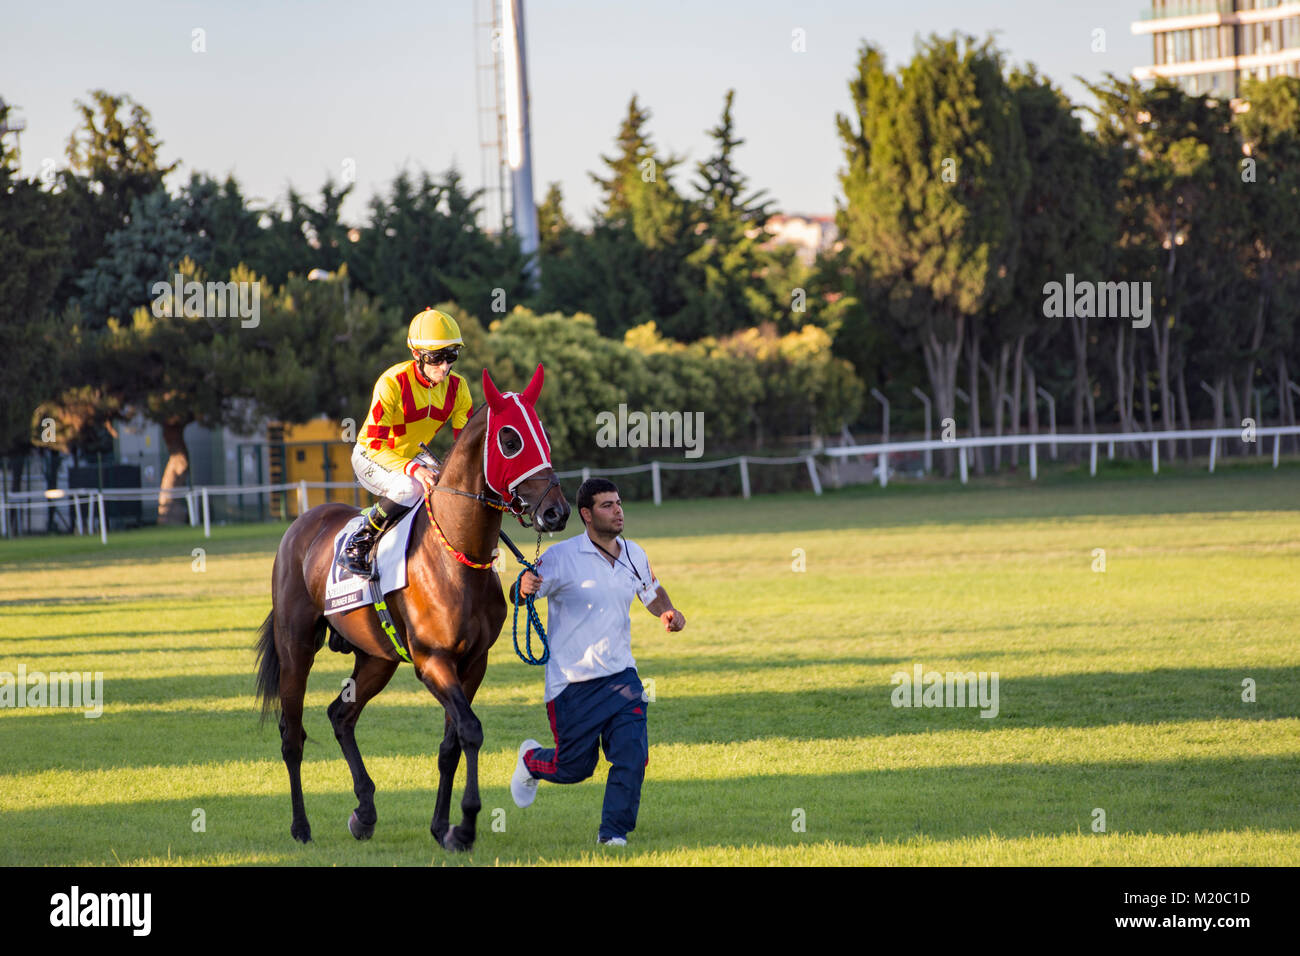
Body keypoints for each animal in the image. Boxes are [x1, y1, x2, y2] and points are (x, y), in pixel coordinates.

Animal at [254, 364, 569, 852]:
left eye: (544, 435)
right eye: (510, 439)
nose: (556, 512)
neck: (455, 554)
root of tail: (303, 523)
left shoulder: (472, 663)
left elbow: (451, 744)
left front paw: (442, 827)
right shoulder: (432, 660)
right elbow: (471, 730)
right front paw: (467, 824)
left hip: (377, 658)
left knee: (341, 715)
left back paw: (364, 812)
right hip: (296, 648)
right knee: (293, 735)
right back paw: (301, 827)